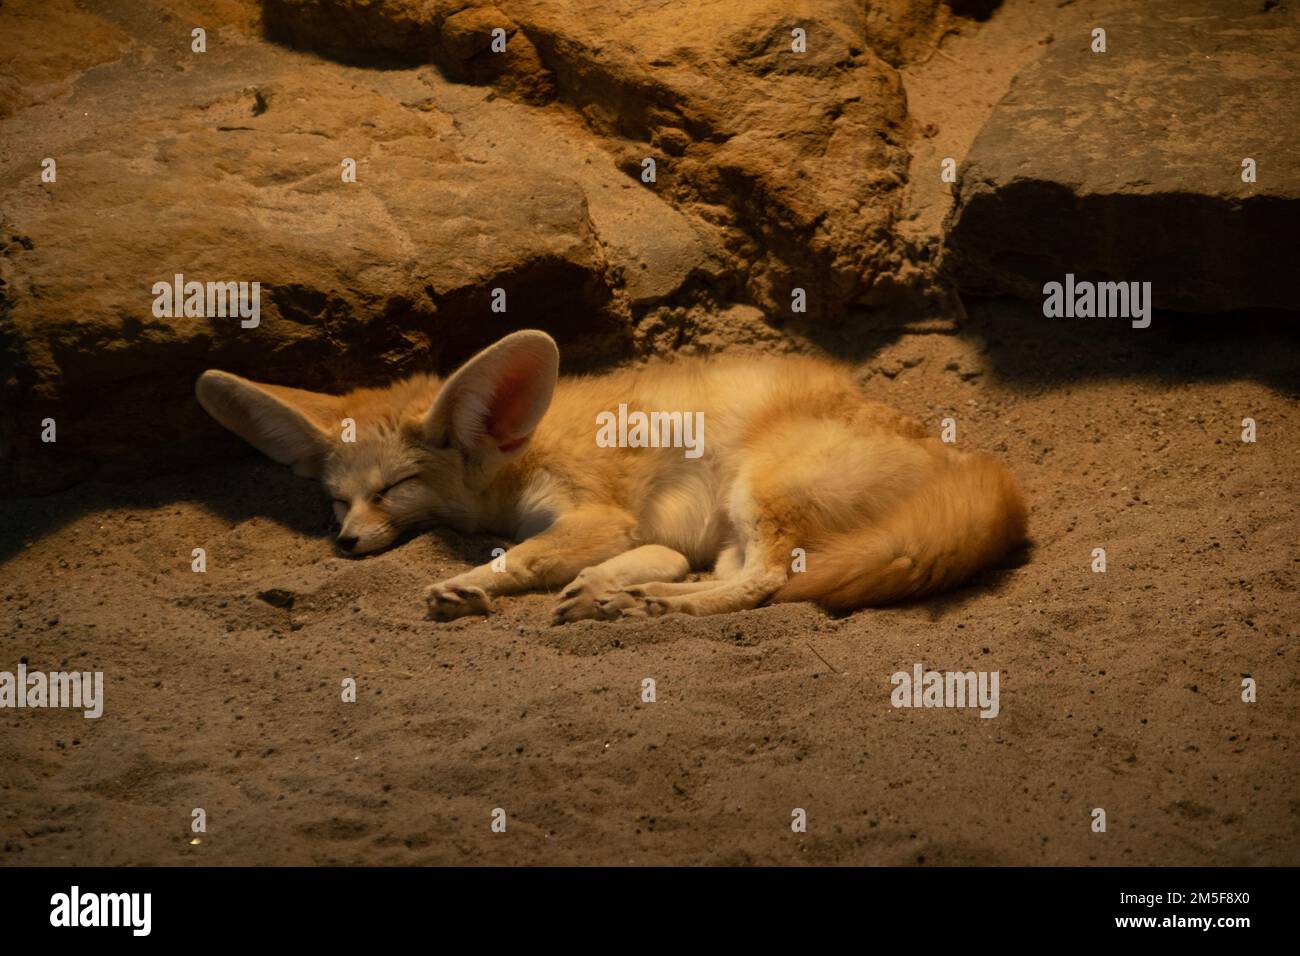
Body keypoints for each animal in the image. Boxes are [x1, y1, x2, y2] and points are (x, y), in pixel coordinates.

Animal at [195, 329, 1027, 623]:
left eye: (393, 490)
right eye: (337, 500)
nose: (344, 543)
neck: (525, 447)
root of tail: (977, 468)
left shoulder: (598, 513)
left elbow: (524, 557)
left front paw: (469, 584)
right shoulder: (635, 530)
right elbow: (647, 555)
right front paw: (604, 584)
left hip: (757, 489)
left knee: (768, 583)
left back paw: (644, 601)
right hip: (734, 522)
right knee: (737, 576)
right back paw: (633, 597)